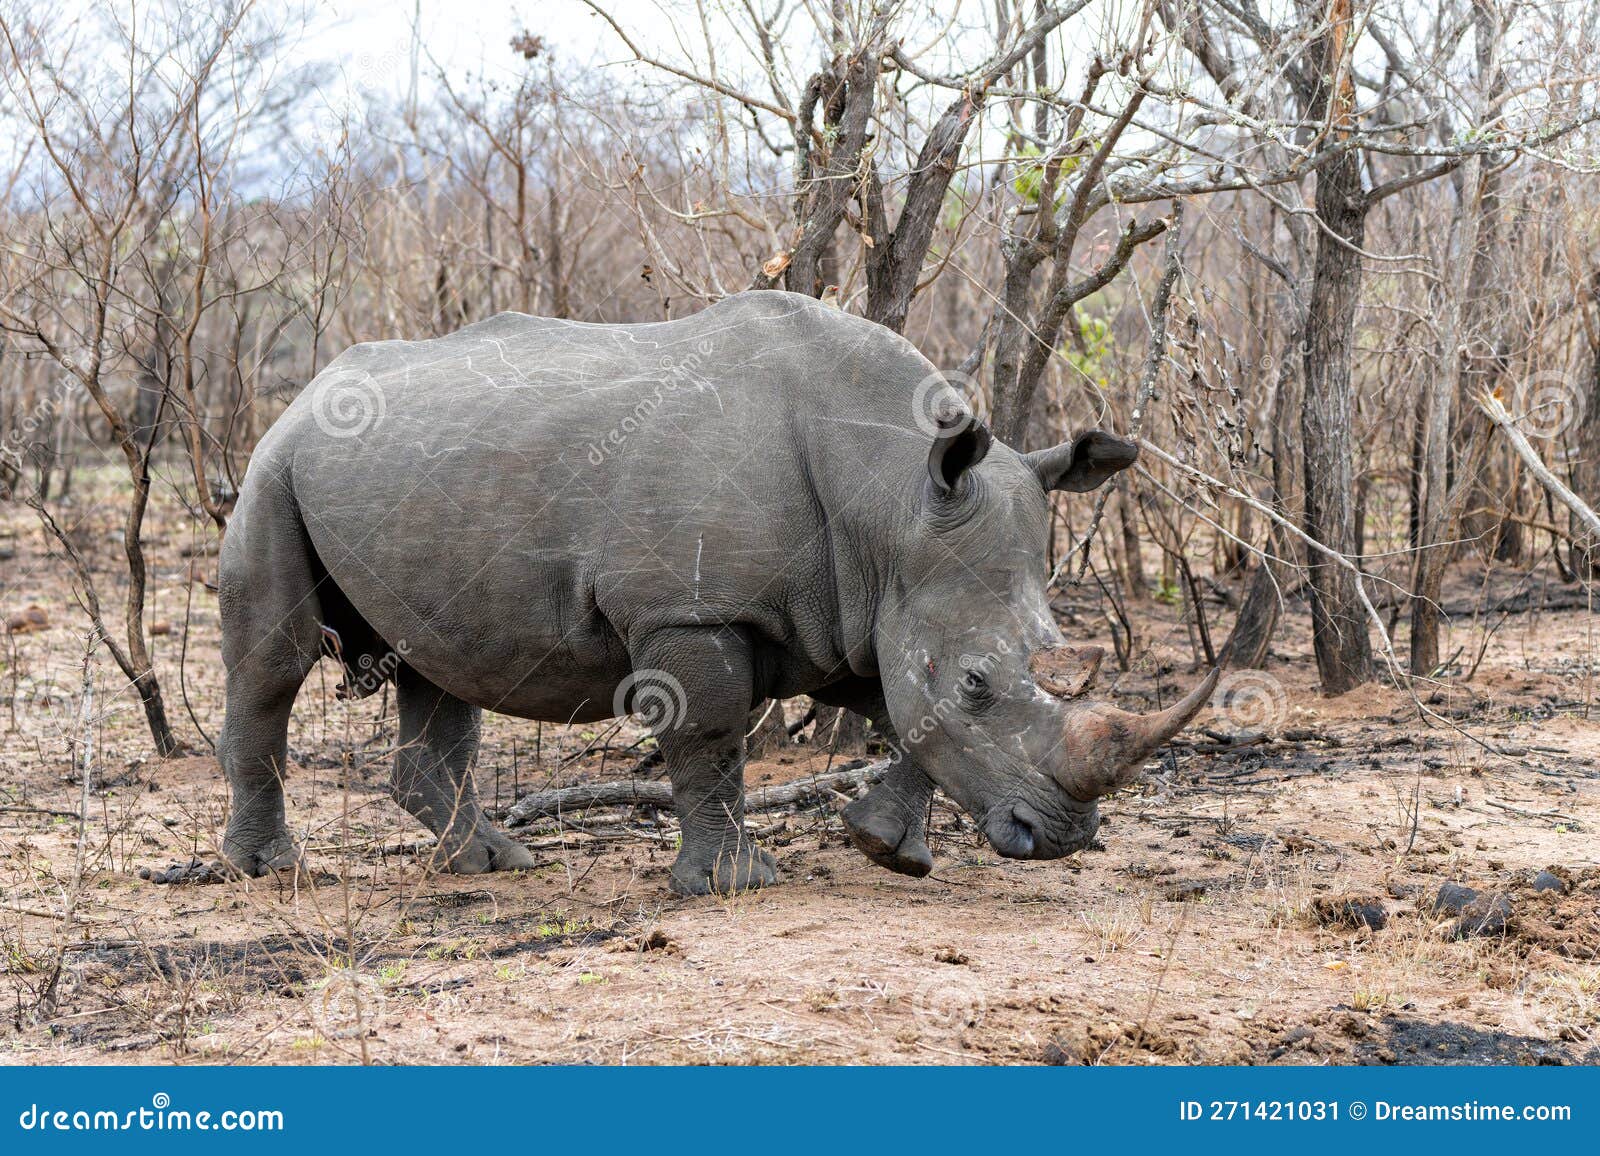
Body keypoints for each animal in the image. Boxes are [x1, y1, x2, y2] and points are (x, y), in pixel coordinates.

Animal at [147, 291, 1214, 894]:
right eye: (980, 682)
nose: (1062, 840)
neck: (892, 499)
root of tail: (306, 391)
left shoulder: (869, 598)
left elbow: (907, 717)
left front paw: (888, 852)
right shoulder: (692, 610)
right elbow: (712, 735)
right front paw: (733, 885)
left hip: (406, 480)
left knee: (441, 667)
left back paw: (491, 865)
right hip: (275, 466)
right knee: (273, 661)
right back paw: (269, 873)